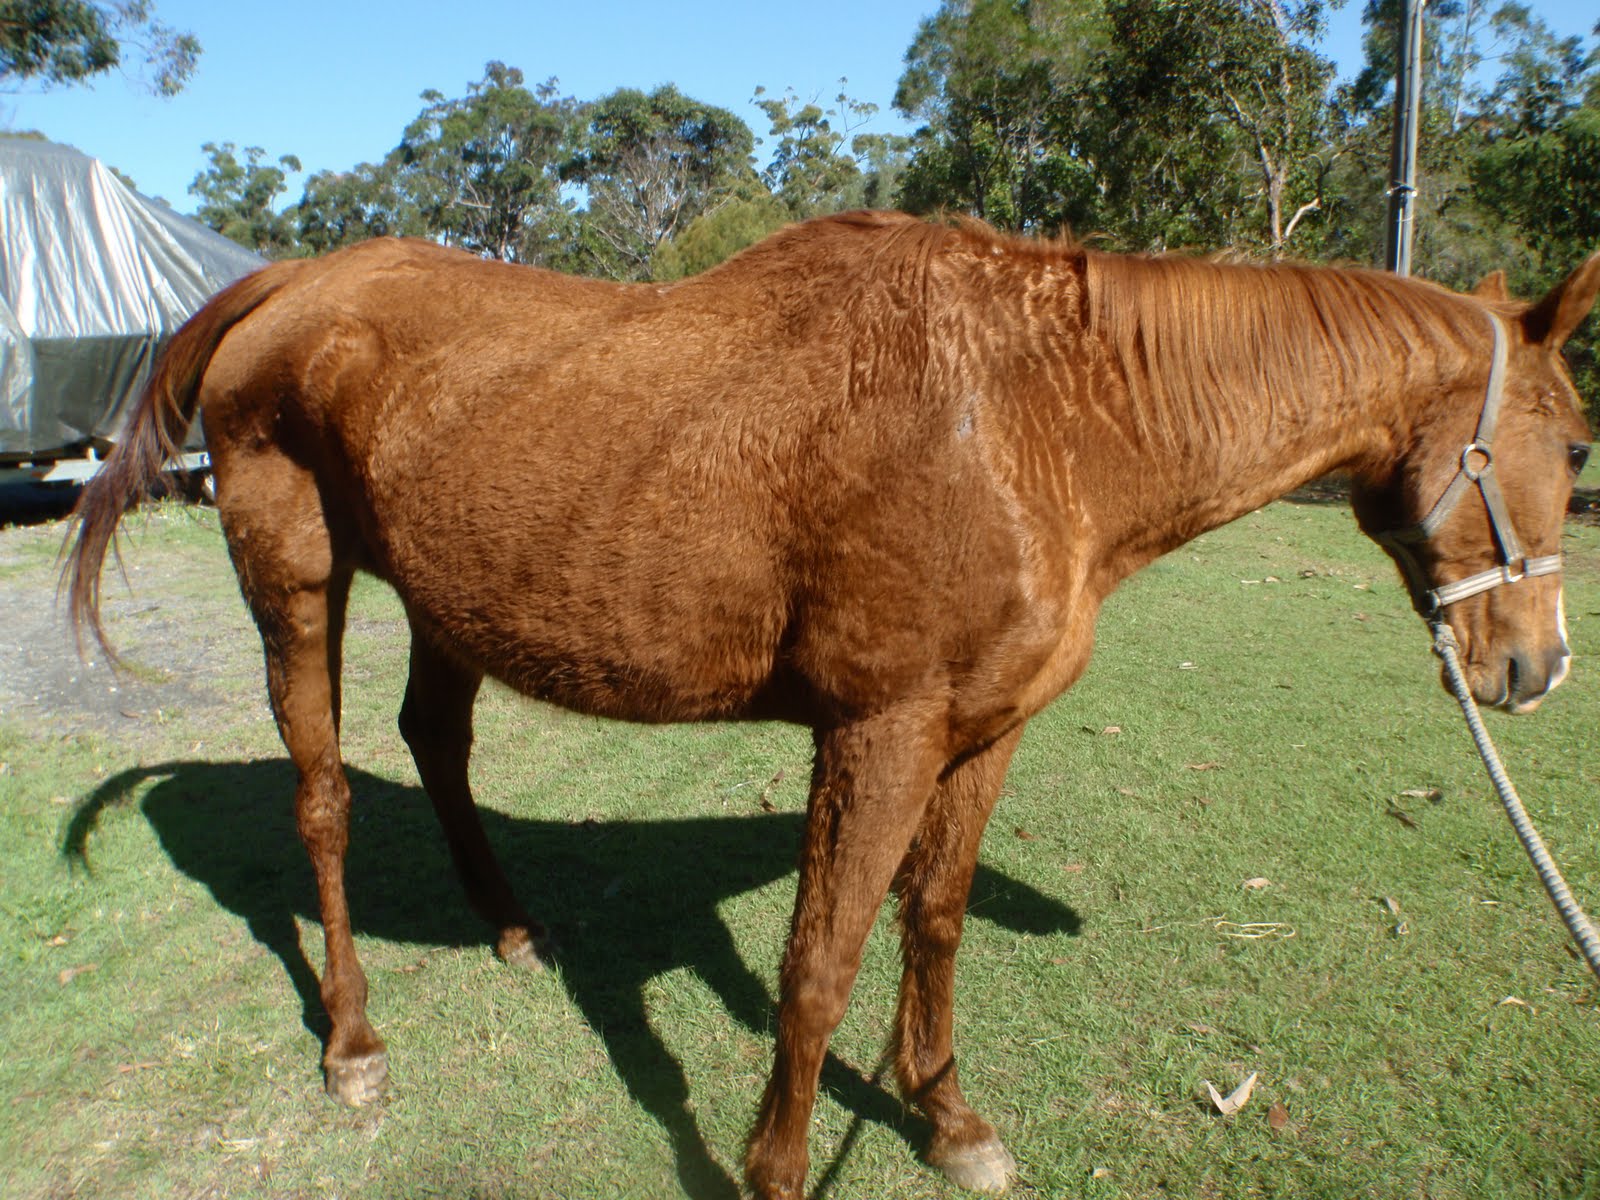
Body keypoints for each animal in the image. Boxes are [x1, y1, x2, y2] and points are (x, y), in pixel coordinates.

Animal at [64, 211, 1598, 1198]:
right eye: (1580, 443)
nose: (1533, 668)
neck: (1043, 416)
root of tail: (289, 284)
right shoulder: (879, 732)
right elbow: (820, 964)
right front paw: (778, 1165)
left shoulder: (982, 735)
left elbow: (932, 926)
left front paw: (948, 1116)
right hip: (296, 584)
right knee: (324, 804)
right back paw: (352, 1040)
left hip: (448, 601)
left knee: (435, 748)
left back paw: (507, 926)